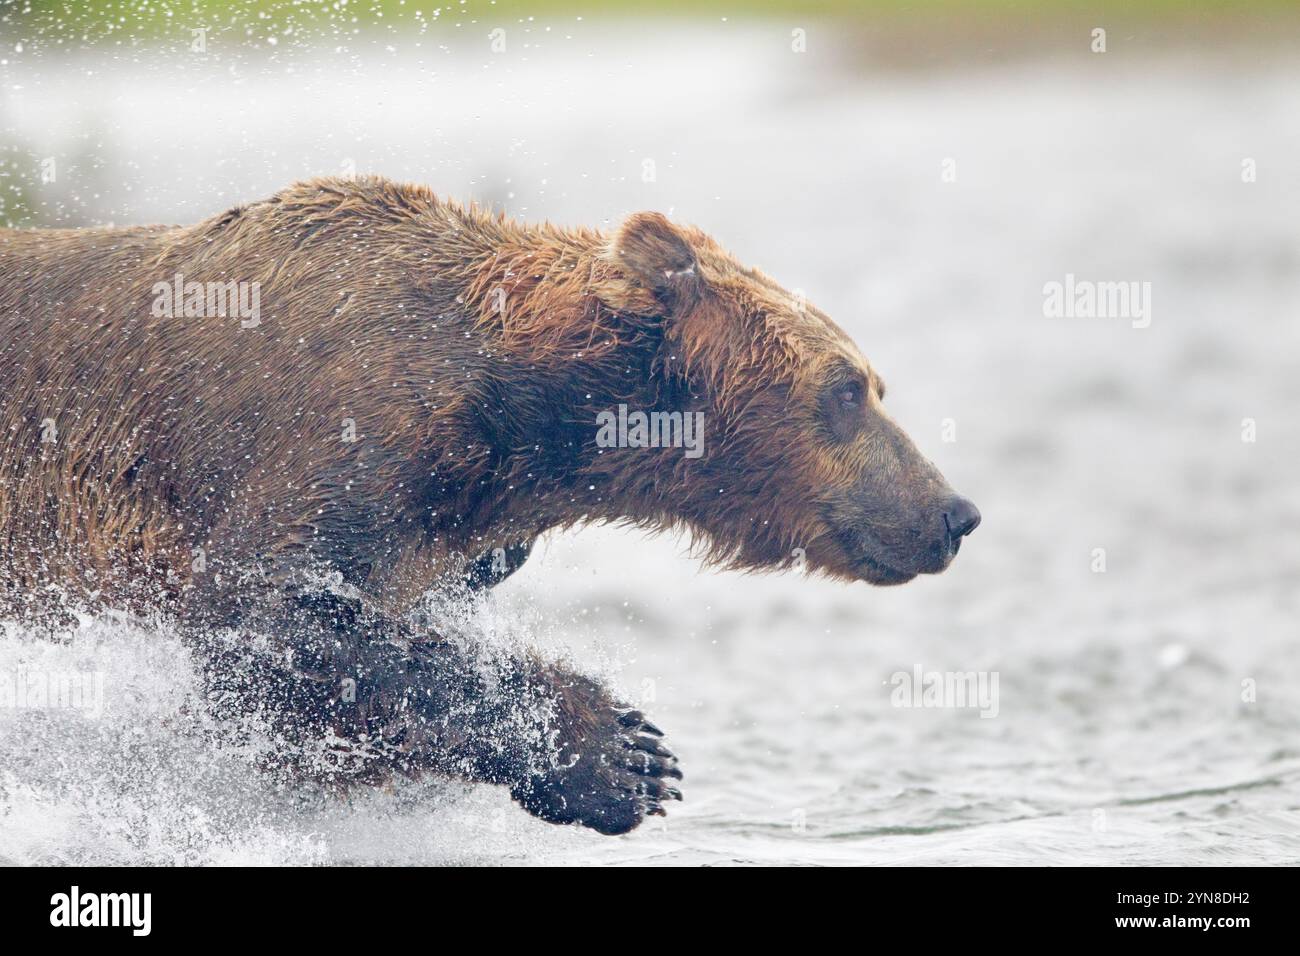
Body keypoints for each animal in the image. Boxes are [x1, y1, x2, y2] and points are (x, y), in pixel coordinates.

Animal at [0, 176, 979, 834]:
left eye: (872, 384)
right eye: (847, 388)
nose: (954, 511)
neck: (520, 416)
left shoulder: (452, 530)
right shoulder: (322, 437)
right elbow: (271, 619)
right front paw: (626, 757)